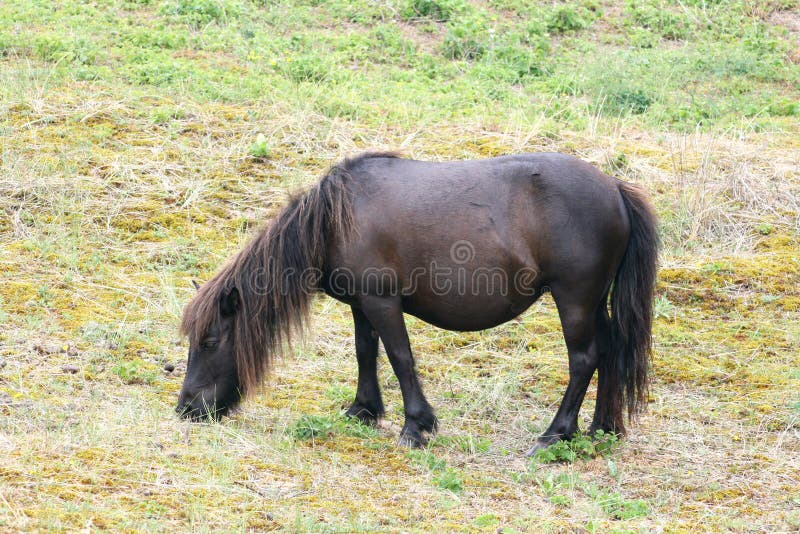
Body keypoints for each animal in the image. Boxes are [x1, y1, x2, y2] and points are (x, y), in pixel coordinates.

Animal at [177, 152, 658, 454]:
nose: (186, 409)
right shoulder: (361, 305)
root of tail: (615, 187)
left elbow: (400, 358)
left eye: (210, 342)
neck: (338, 217)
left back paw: (556, 434)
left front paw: (416, 426)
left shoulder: (382, 302)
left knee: (584, 359)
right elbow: (365, 353)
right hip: (594, 304)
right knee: (610, 353)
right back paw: (601, 428)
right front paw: (363, 411)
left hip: (574, 301)